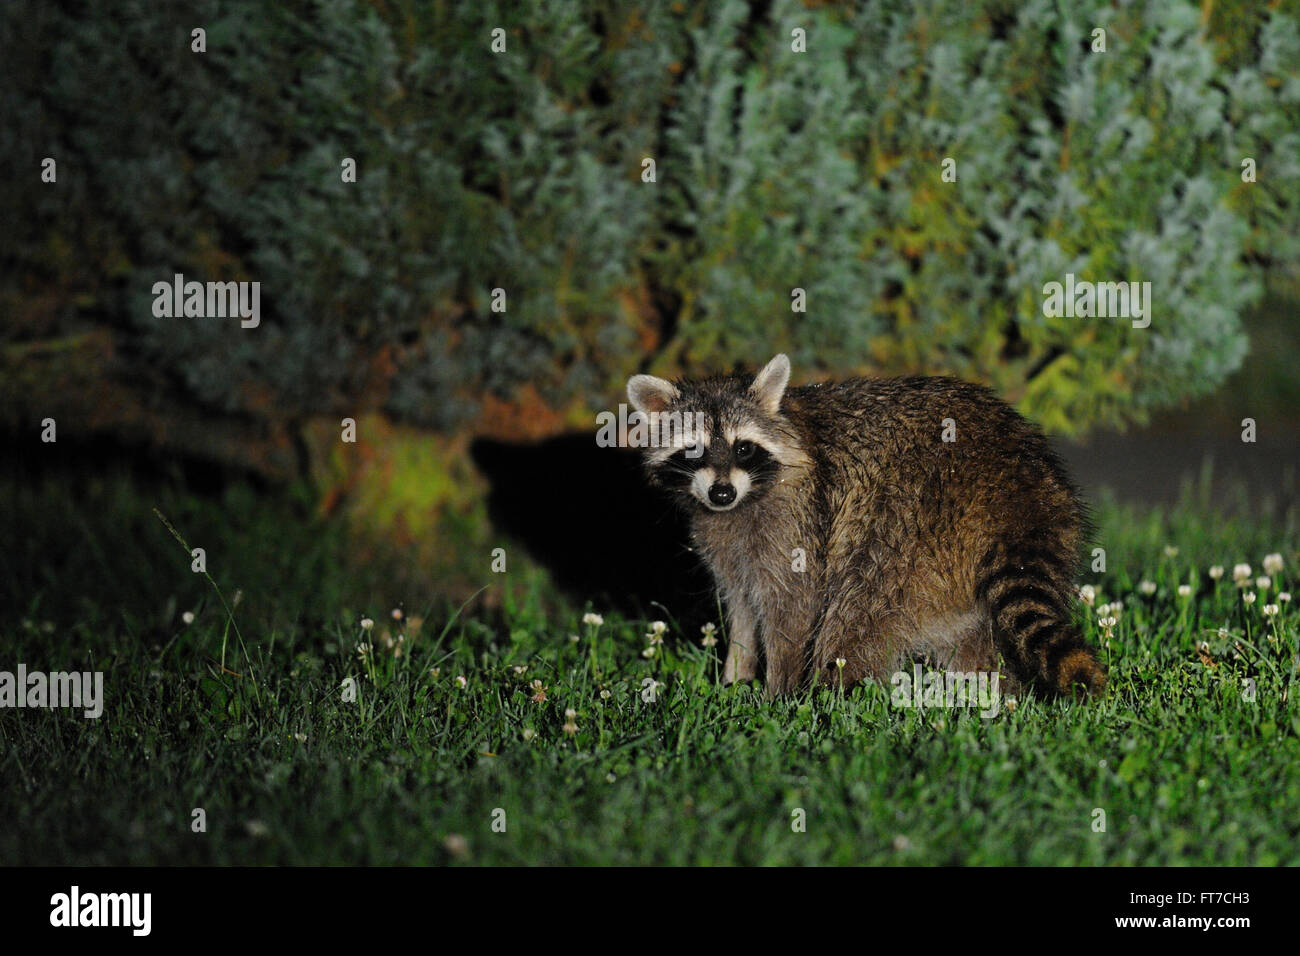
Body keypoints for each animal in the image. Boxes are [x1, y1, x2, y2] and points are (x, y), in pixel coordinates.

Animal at [626, 354, 1105, 699]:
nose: (722, 493)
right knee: (971, 640)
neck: (748, 498)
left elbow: (792, 610)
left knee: (856, 616)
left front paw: (777, 695)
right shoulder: (723, 538)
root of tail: (1018, 488)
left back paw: (838, 700)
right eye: (693, 451)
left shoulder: (798, 523)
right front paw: (735, 676)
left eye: (744, 448)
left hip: (912, 523)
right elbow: (742, 607)